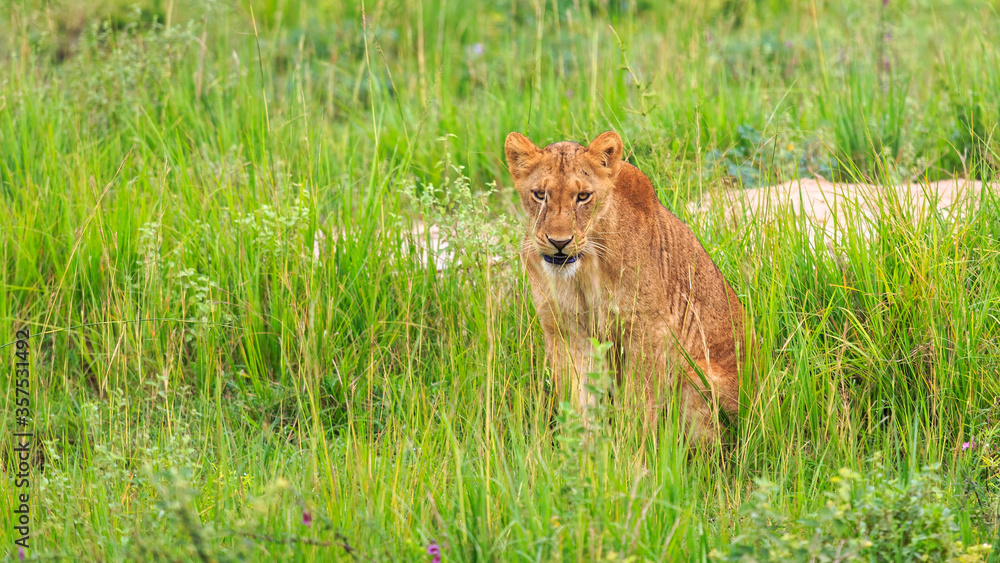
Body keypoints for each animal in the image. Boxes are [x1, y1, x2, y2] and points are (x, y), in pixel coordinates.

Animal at [504, 130, 749, 442]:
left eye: (583, 196)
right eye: (539, 194)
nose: (560, 242)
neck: (585, 267)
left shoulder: (648, 330)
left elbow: (639, 402)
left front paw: (633, 448)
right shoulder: (565, 331)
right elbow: (579, 399)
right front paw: (585, 448)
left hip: (695, 375)